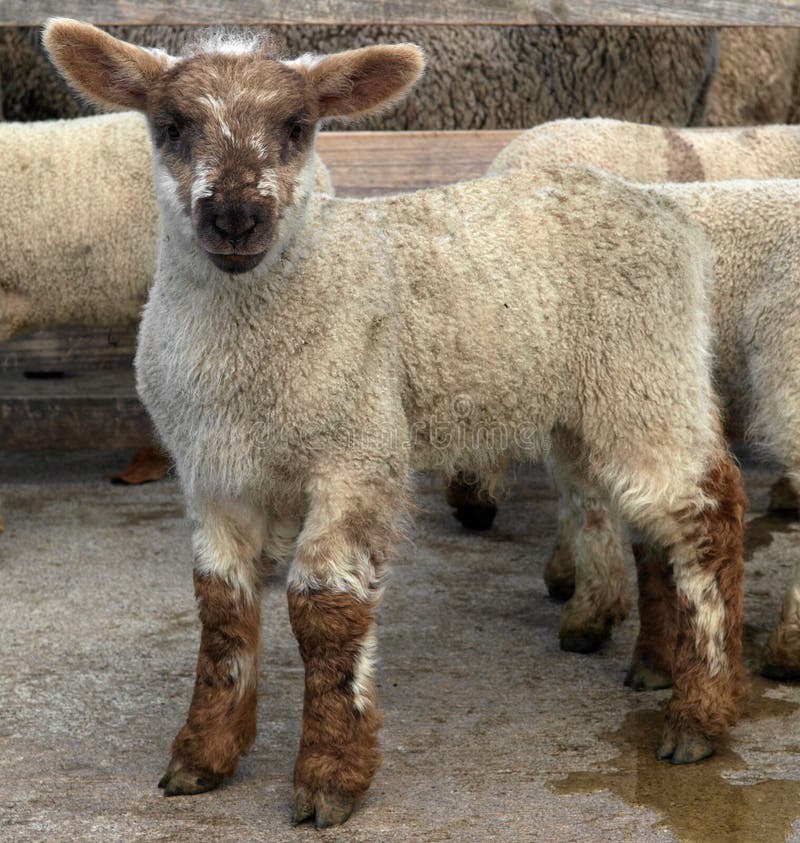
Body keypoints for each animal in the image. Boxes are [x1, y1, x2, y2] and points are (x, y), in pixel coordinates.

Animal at [44, 19, 748, 828]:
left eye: (298, 127)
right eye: (171, 126)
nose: (235, 218)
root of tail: (667, 211)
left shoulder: (359, 448)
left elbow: (325, 609)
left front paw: (330, 777)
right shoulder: (212, 472)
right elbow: (220, 608)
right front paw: (201, 756)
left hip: (648, 372)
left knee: (707, 516)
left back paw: (701, 715)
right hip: (596, 404)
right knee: (650, 526)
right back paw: (655, 667)